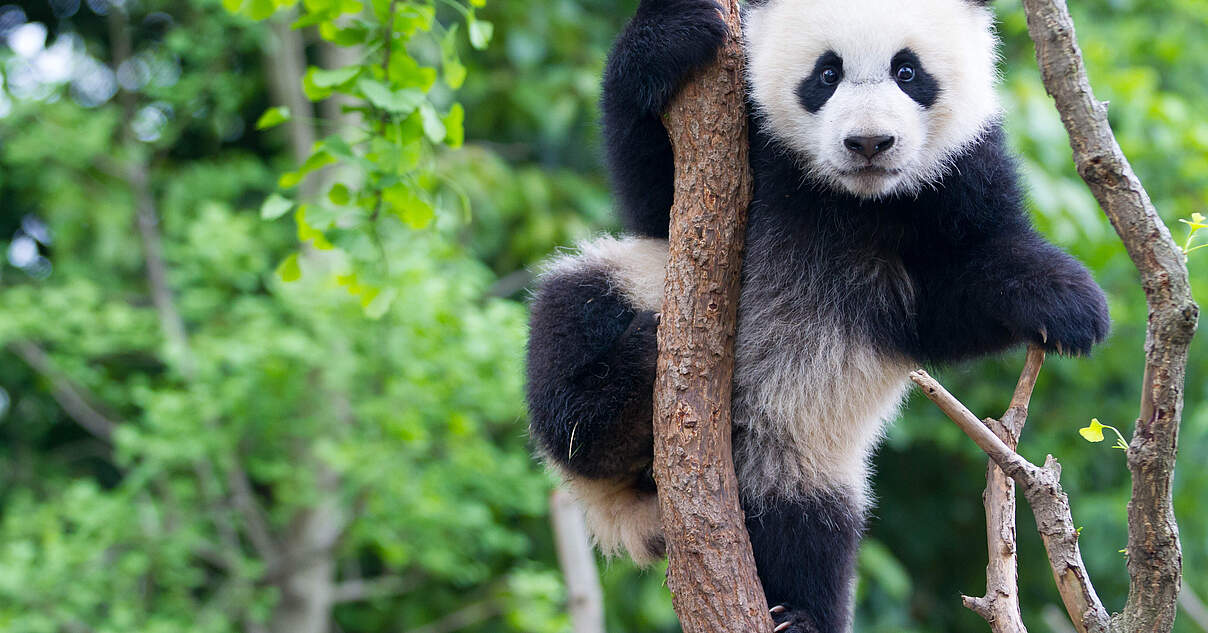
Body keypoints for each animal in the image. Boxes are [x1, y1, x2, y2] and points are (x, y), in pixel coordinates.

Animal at [525, 0, 1110, 631]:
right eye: (826, 74)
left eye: (908, 71)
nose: (870, 143)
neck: (849, 199)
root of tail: (640, 497)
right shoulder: (742, 149)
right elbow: (652, 191)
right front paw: (674, 31)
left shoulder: (959, 175)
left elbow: (954, 298)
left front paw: (1068, 303)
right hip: (629, 285)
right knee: (569, 332)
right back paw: (621, 389)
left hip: (799, 451)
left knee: (807, 526)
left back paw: (801, 612)